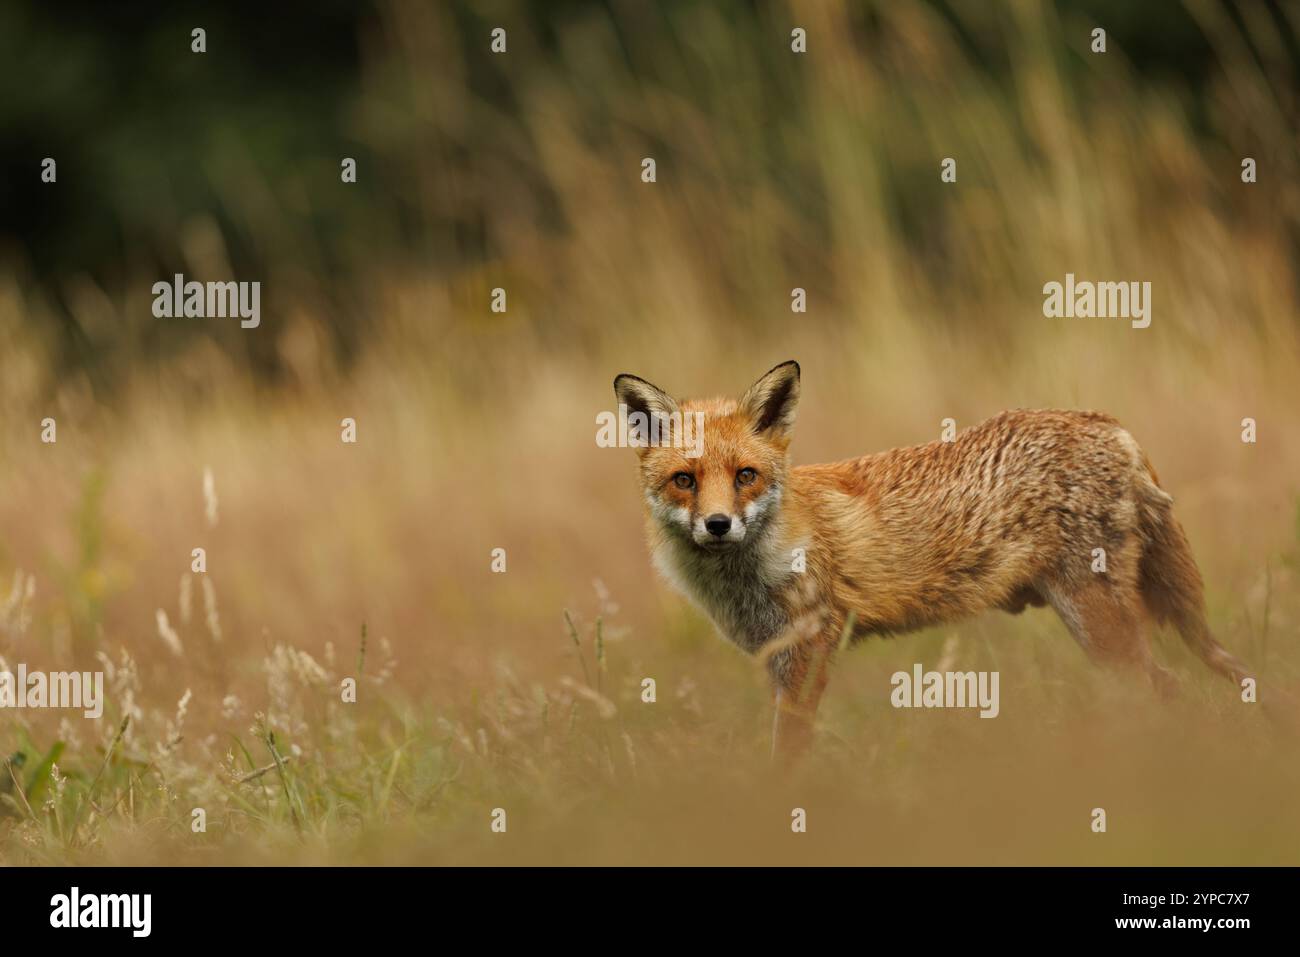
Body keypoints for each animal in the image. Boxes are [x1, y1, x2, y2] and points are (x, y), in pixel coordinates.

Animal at [614, 360, 1253, 759]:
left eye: (745, 476)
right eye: (685, 480)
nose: (718, 525)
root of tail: (1107, 424)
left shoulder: (810, 647)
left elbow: (786, 759)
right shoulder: (778, 657)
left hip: (1098, 620)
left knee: (1162, 688)